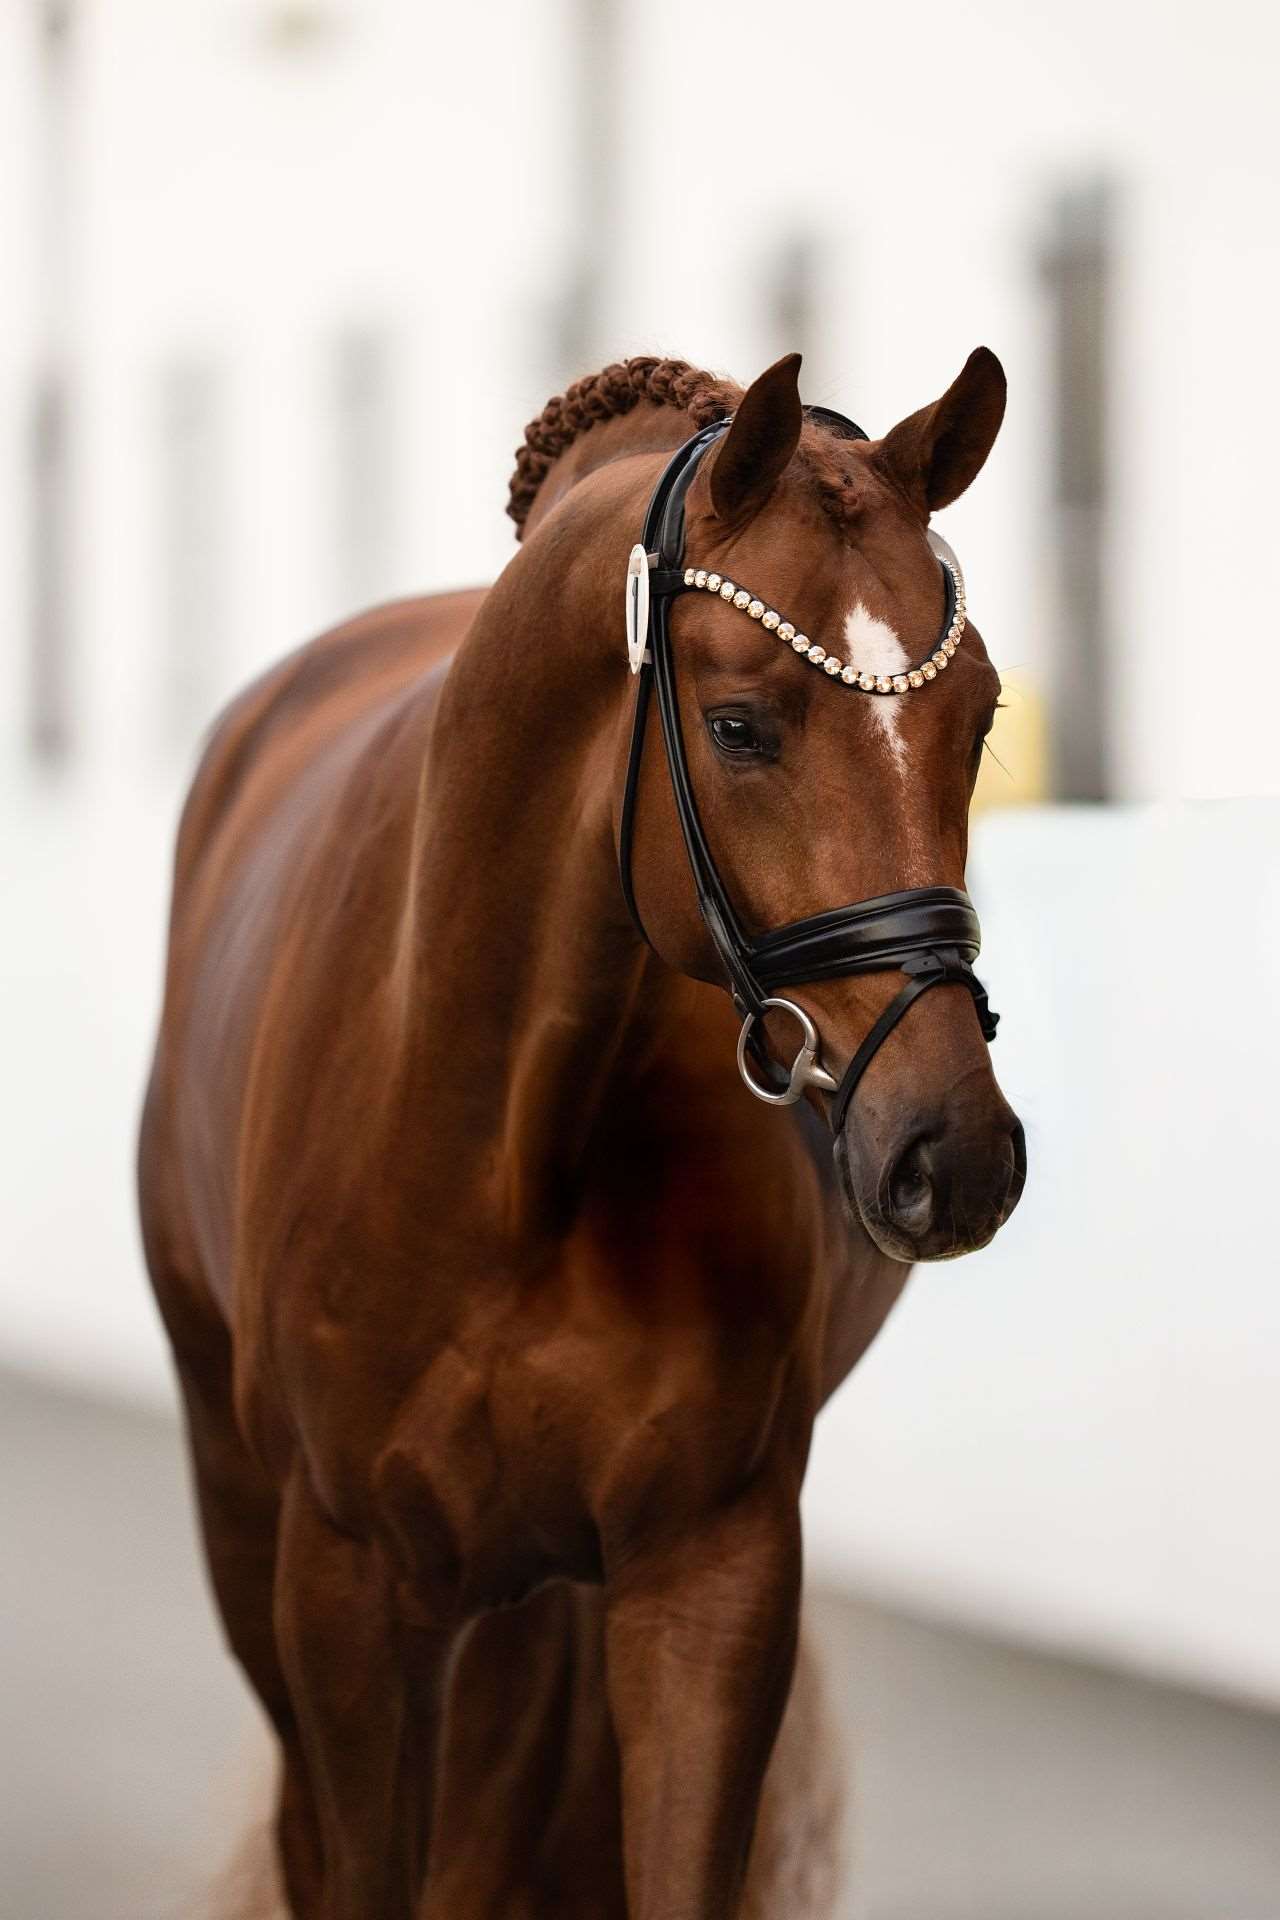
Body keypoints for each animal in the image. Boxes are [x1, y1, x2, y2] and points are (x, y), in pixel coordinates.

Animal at [139, 345, 1026, 1920]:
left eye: (975, 718)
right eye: (737, 726)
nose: (955, 1157)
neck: (502, 1148)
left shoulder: (709, 1568)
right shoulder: (344, 1593)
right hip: (257, 1526)